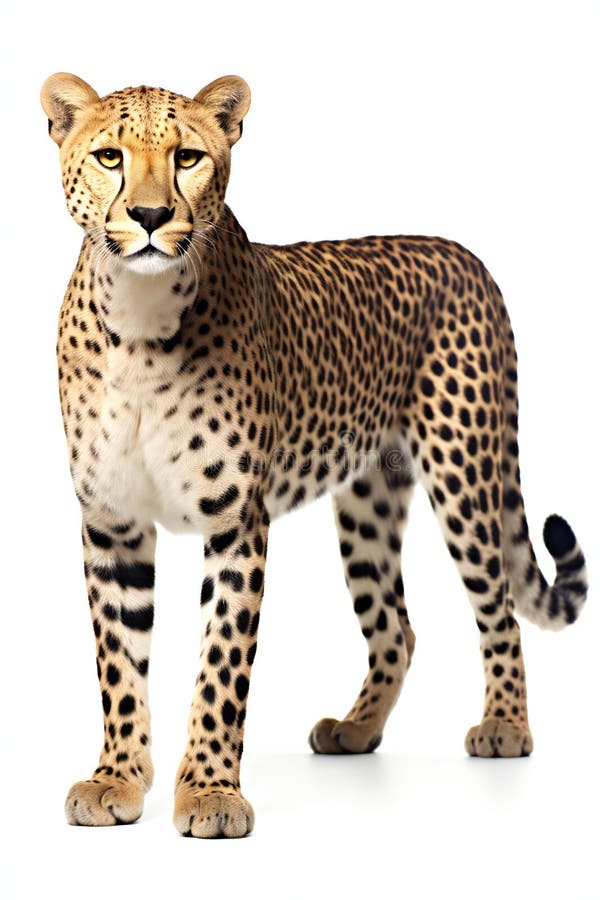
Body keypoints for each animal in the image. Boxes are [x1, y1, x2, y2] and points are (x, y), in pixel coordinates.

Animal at [41, 72, 588, 839]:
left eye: (187, 158)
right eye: (110, 157)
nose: (150, 216)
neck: (139, 319)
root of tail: (464, 254)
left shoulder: (234, 519)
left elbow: (220, 664)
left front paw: (209, 792)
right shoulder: (111, 520)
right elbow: (119, 662)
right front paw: (117, 777)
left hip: (464, 469)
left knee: (499, 606)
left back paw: (505, 727)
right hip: (367, 503)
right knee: (397, 627)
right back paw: (356, 730)